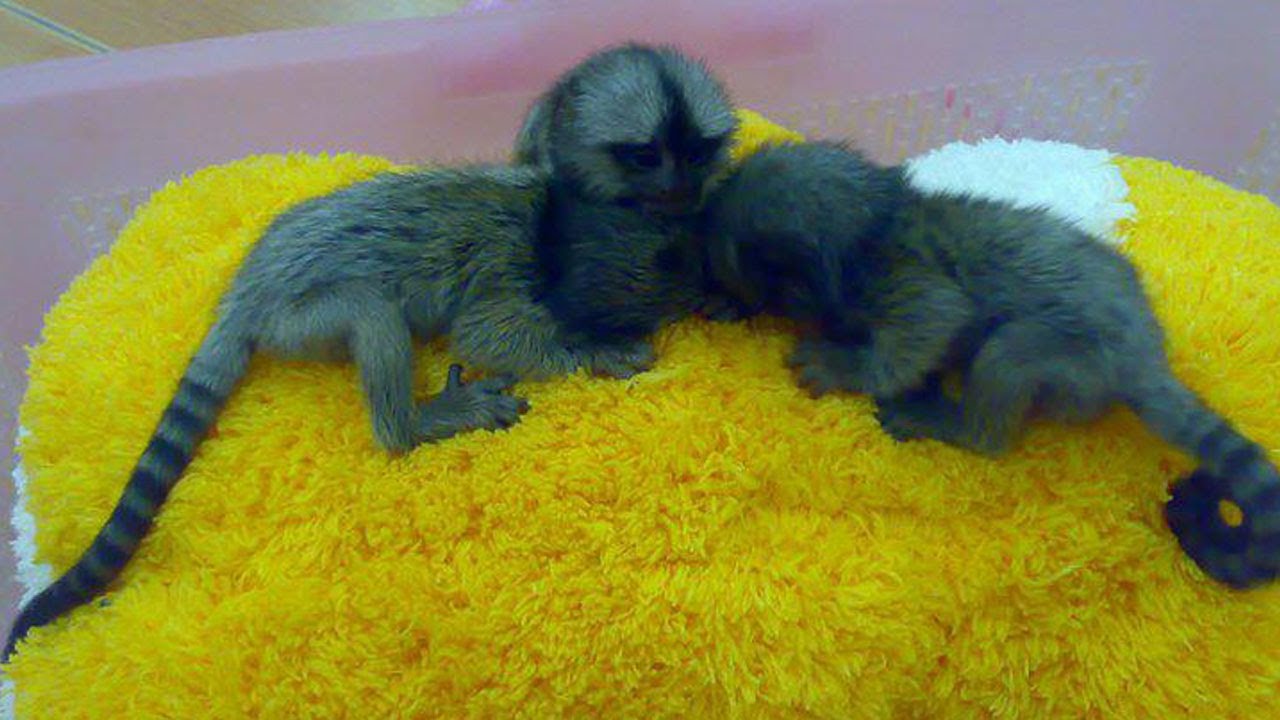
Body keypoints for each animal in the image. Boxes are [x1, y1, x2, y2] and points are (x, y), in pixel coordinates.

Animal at [3, 161, 707, 661]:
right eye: (666, 268)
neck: (548, 228)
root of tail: (244, 295)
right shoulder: (509, 280)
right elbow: (490, 338)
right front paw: (597, 351)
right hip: (302, 321)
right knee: (372, 311)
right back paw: (416, 422)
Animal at [701, 139, 1280, 589]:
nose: (730, 296)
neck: (880, 223)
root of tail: (1144, 353)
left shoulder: (896, 276)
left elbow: (934, 319)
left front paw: (844, 364)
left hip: (1081, 366)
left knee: (1009, 352)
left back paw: (958, 425)